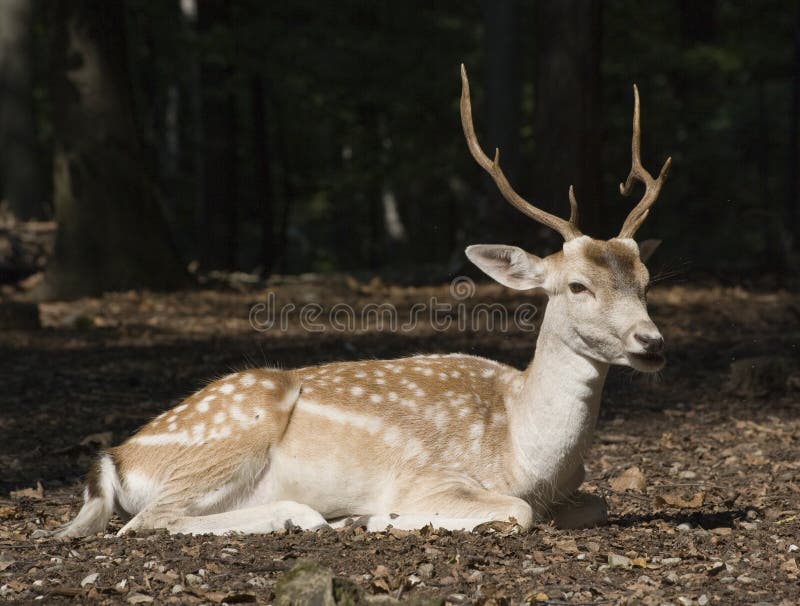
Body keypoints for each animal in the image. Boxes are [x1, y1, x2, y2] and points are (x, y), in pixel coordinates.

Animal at [55, 65, 671, 538]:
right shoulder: (431, 477)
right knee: (146, 522)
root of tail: (117, 457)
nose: (652, 342)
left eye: (646, 279)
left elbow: (600, 502)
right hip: (227, 438)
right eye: (577, 285)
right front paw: (377, 518)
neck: (526, 455)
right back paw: (310, 516)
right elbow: (517, 512)